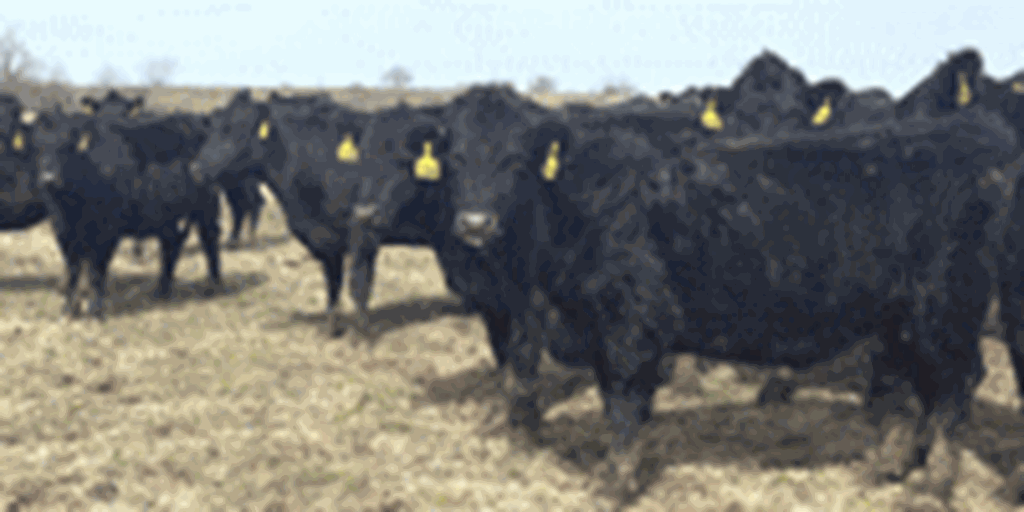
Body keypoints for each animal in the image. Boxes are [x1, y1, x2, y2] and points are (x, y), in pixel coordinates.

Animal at [30, 101, 224, 319]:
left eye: (68, 147)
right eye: (38, 147)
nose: (48, 178)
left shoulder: (107, 232)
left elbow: (97, 272)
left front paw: (96, 309)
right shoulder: (63, 233)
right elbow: (72, 270)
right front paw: (69, 309)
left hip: (206, 207)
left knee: (209, 239)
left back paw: (214, 284)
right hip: (170, 216)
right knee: (172, 244)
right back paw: (162, 290)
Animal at [442, 51, 1021, 507]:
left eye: (517, 160)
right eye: (453, 158)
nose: (474, 224)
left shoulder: (627, 325)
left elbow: (624, 407)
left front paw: (613, 485)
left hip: (947, 308)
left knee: (956, 385)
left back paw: (934, 485)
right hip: (906, 316)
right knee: (914, 387)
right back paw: (890, 466)